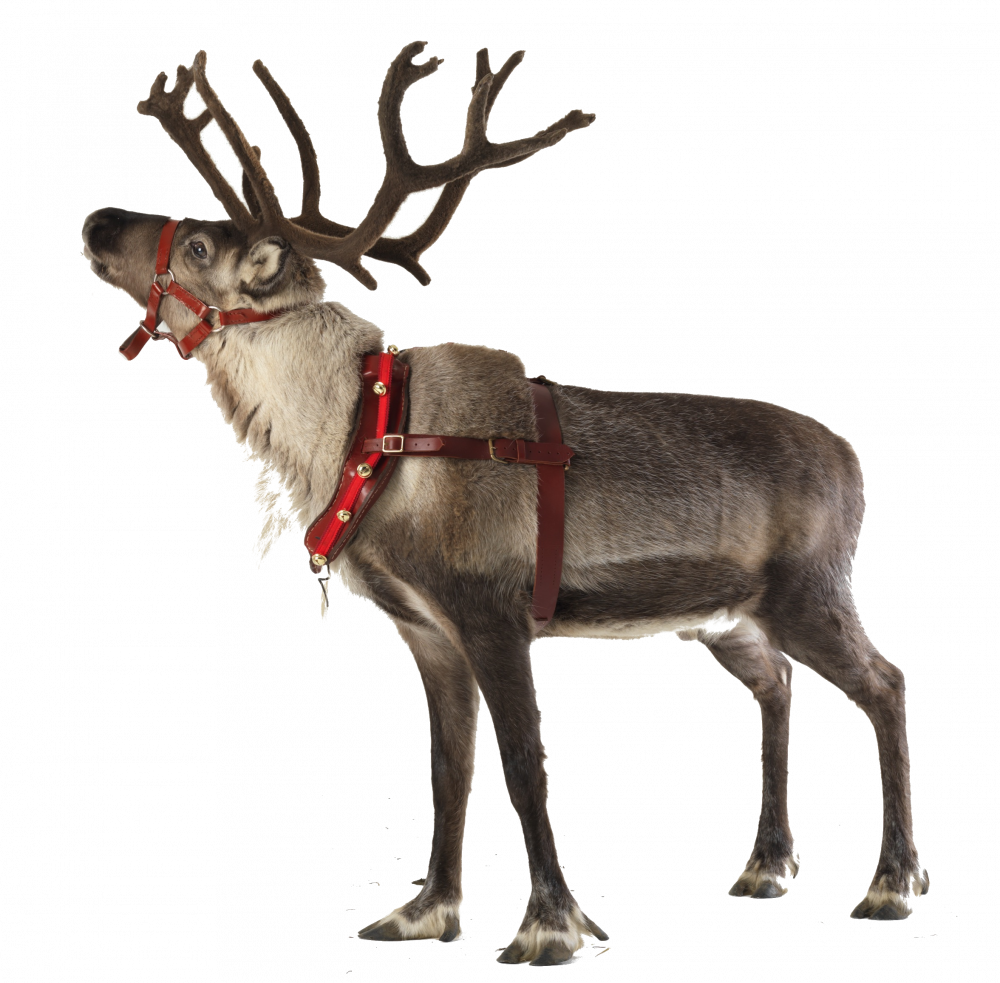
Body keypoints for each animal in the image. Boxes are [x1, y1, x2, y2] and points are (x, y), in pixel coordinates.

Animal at [81, 41, 929, 965]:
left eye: (200, 243)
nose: (95, 221)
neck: (362, 433)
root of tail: (853, 460)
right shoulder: (426, 629)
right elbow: (449, 769)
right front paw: (425, 911)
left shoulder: (495, 613)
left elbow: (525, 763)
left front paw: (550, 924)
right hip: (727, 620)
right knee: (775, 685)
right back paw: (765, 864)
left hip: (809, 590)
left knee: (886, 681)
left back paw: (891, 883)